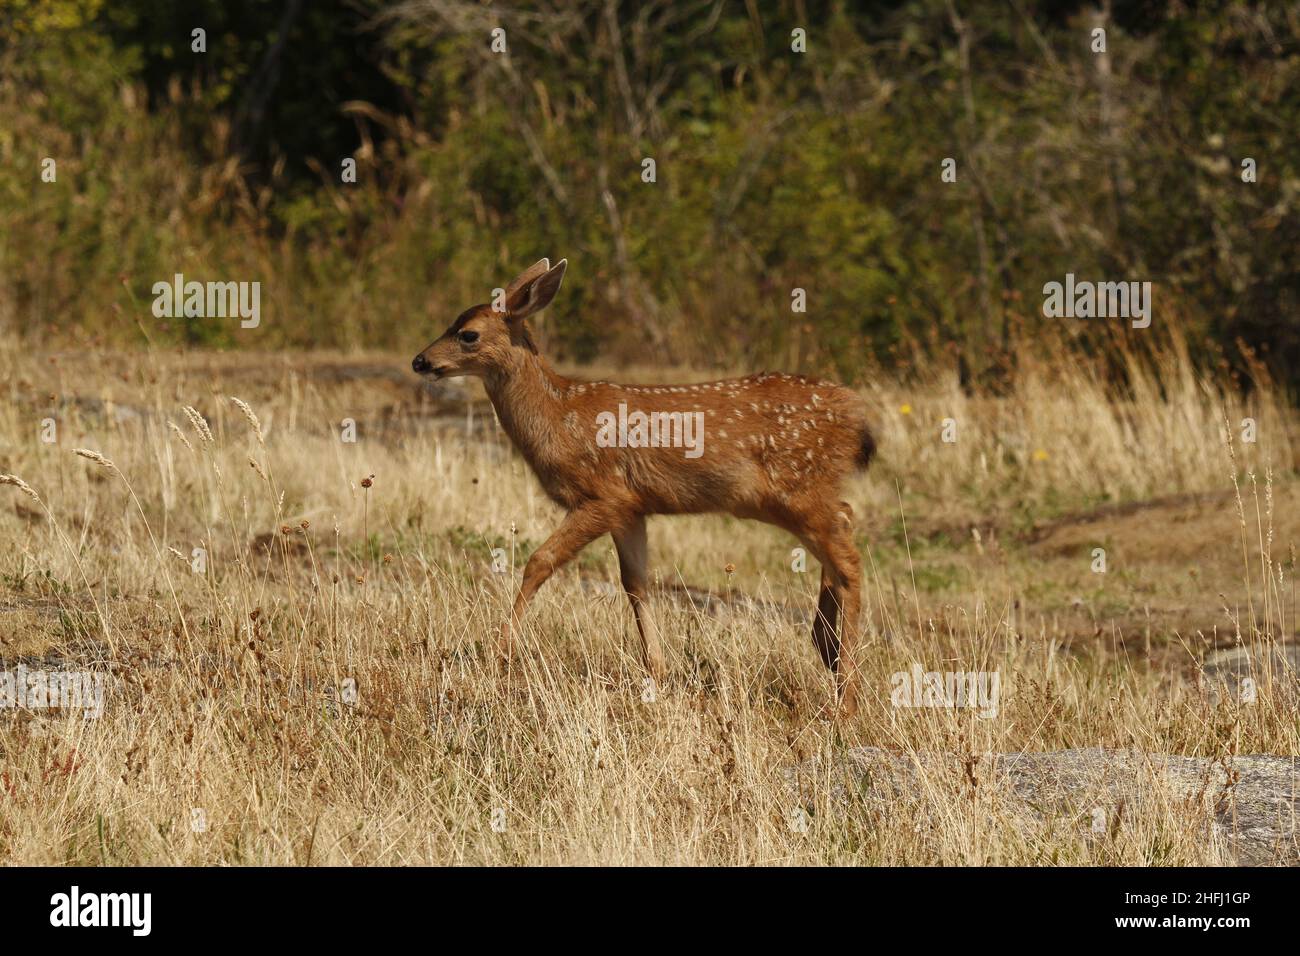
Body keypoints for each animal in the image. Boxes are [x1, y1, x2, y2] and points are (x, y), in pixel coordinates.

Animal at [412, 259, 877, 716]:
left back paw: (847, 698)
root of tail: (857, 416)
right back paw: (826, 647)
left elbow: (539, 561)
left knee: (849, 560)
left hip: (797, 486)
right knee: (846, 520)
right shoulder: (632, 508)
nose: (420, 361)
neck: (558, 416)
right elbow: (635, 583)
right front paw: (658, 670)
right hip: (793, 494)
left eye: (468, 334)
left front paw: (499, 650)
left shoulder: (602, 494)